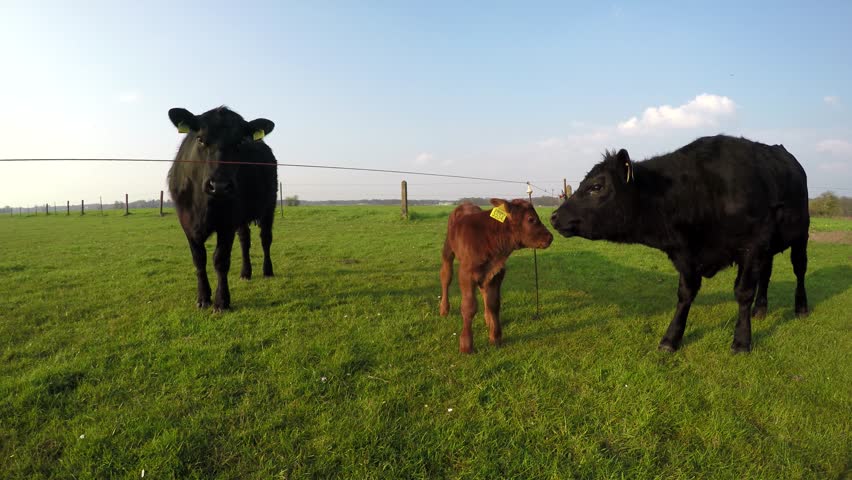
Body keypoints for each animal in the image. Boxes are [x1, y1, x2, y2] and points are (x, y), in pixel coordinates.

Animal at [167, 106, 279, 311]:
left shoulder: (227, 223)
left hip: (269, 206)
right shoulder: (186, 223)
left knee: (265, 239)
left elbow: (221, 260)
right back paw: (245, 272)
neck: (203, 205)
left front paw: (221, 301)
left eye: (239, 142)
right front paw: (203, 298)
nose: (219, 186)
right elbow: (199, 259)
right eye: (200, 139)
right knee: (245, 240)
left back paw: (267, 270)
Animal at [440, 199, 554, 353]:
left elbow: (494, 303)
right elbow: (469, 306)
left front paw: (496, 337)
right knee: (446, 277)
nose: (550, 237)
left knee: (483, 291)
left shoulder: (497, 274)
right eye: (531, 219)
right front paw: (466, 345)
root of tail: (465, 204)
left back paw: (488, 318)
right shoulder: (466, 274)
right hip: (448, 250)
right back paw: (444, 309)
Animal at [550, 135, 809, 353]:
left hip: (800, 235)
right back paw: (760, 309)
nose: (554, 217)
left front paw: (742, 341)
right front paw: (671, 338)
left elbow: (743, 293)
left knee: (799, 269)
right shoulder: (686, 256)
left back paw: (801, 308)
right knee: (766, 274)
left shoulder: (752, 245)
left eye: (596, 187)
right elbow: (685, 295)